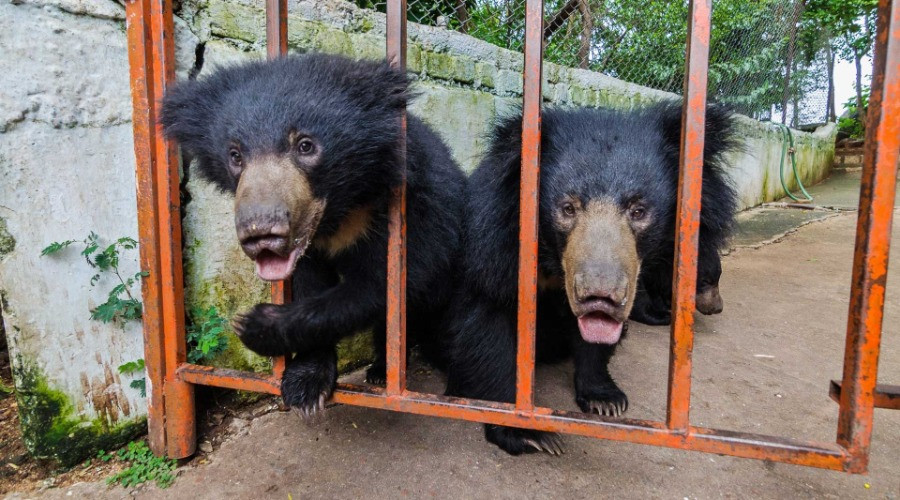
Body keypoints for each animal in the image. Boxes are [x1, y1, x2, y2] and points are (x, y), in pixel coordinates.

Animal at [161, 54, 466, 415]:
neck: (340, 211)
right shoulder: (308, 245)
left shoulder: (414, 213)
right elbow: (308, 283)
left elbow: (384, 285)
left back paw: (383, 370)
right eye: (235, 155)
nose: (261, 233)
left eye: (306, 146)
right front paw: (305, 383)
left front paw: (256, 326)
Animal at [444, 102, 738, 455]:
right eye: (568, 208)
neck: (552, 262)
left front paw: (605, 400)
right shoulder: (495, 249)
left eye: (638, 210)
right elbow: (489, 329)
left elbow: (595, 340)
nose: (600, 296)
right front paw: (527, 432)